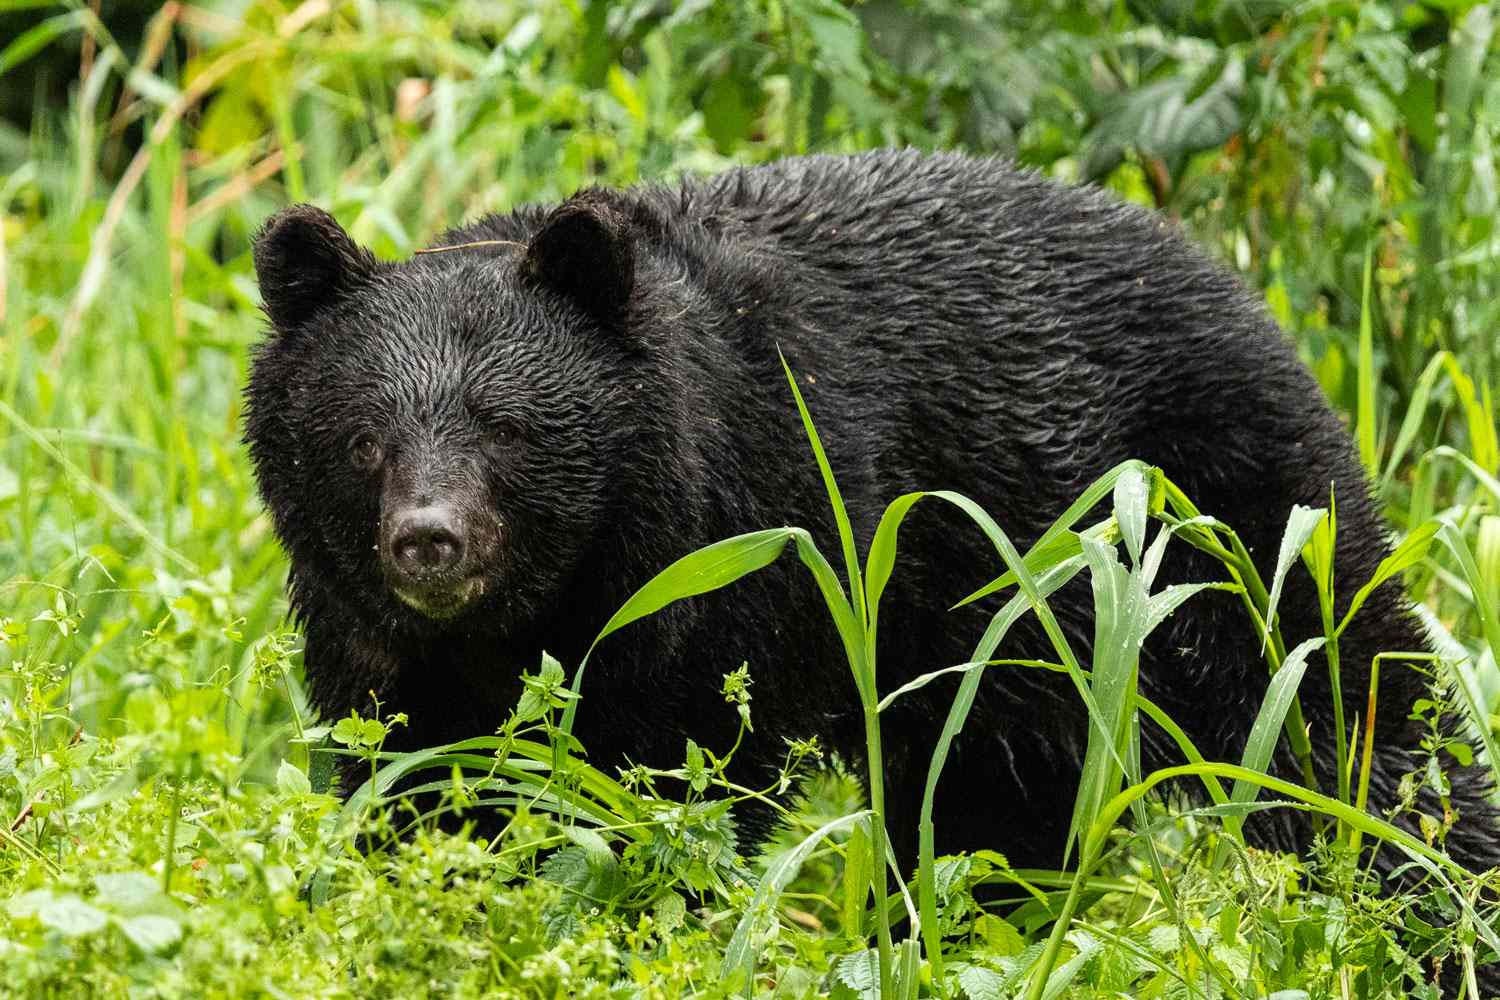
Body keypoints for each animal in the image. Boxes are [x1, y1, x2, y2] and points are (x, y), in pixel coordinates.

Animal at [245, 149, 1498, 910]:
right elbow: (413, 781)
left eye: (505, 427)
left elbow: (676, 783)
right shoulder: (383, 649)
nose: (429, 542)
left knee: (1354, 718)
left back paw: (1443, 912)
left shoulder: (743, 561)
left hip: (1222, 517)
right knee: (992, 809)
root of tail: (1241, 288)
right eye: (363, 439)